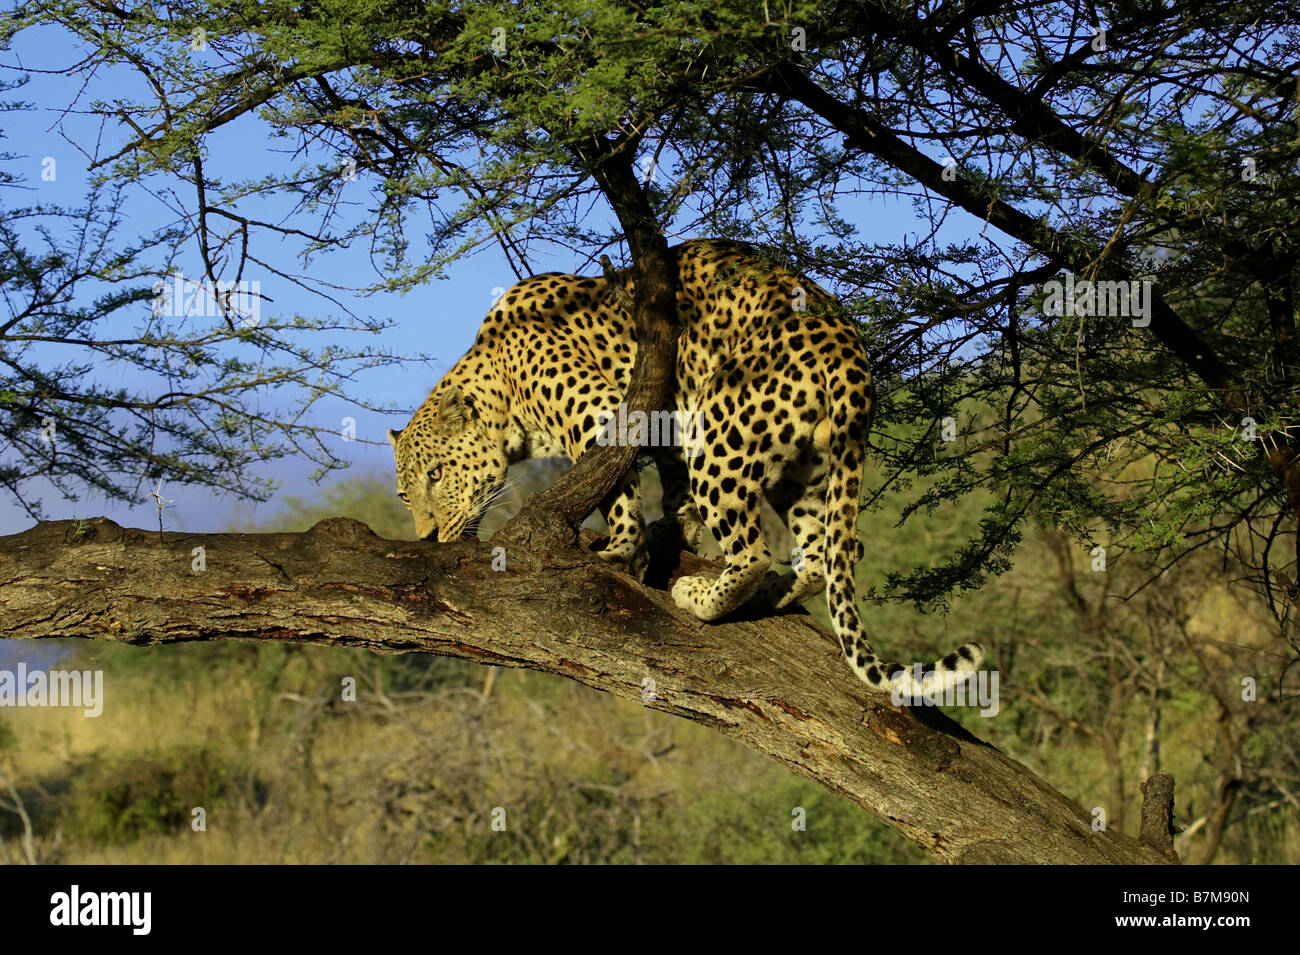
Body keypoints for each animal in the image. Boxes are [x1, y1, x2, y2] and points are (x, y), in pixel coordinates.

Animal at [388, 239, 984, 695]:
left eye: (435, 476)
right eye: (403, 496)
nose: (428, 537)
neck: (498, 384)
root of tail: (850, 348)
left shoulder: (606, 409)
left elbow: (620, 491)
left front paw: (623, 548)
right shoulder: (670, 420)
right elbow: (672, 491)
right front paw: (675, 532)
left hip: (722, 432)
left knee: (755, 551)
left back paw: (702, 597)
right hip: (807, 466)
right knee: (827, 554)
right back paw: (770, 595)